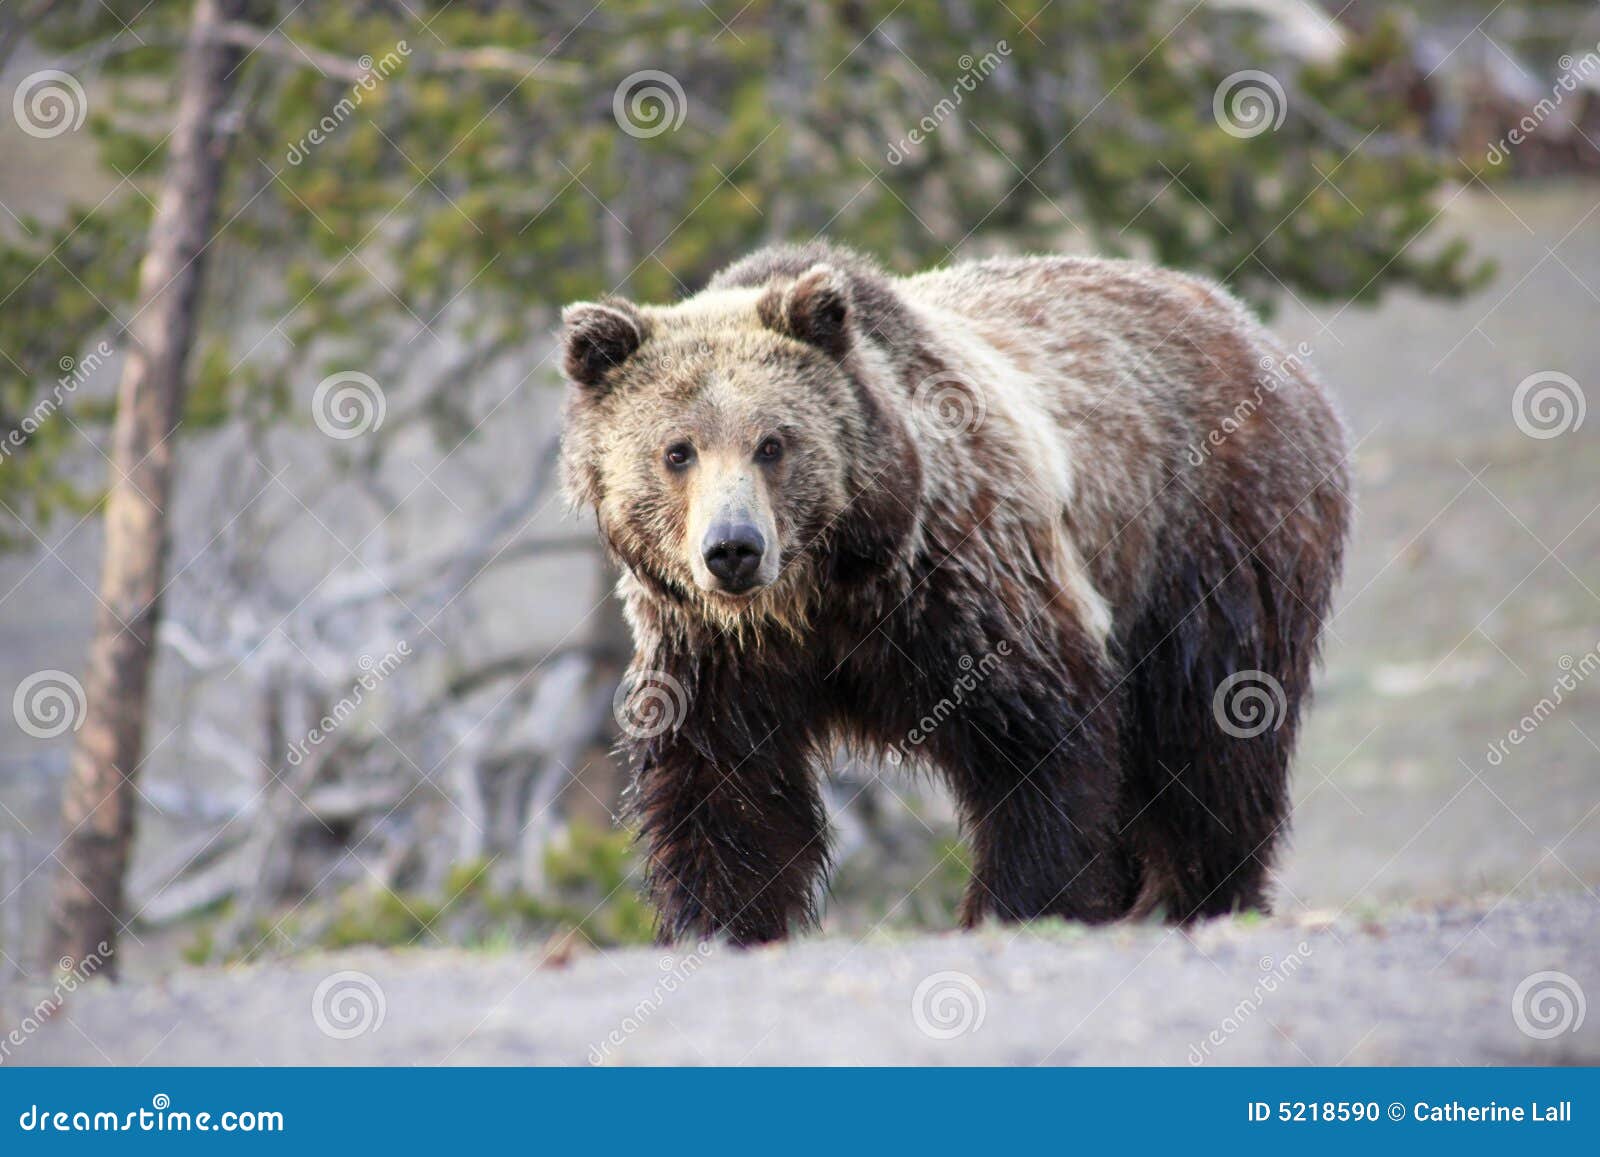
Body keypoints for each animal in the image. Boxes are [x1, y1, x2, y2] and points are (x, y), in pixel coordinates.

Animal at [558, 242, 1350, 946]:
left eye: (773, 443)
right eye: (677, 450)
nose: (733, 548)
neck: (822, 596)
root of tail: (1248, 324)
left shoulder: (963, 586)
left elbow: (1039, 751)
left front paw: (1019, 906)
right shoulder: (715, 653)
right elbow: (726, 793)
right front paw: (723, 923)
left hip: (1211, 542)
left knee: (1211, 738)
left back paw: (1204, 897)